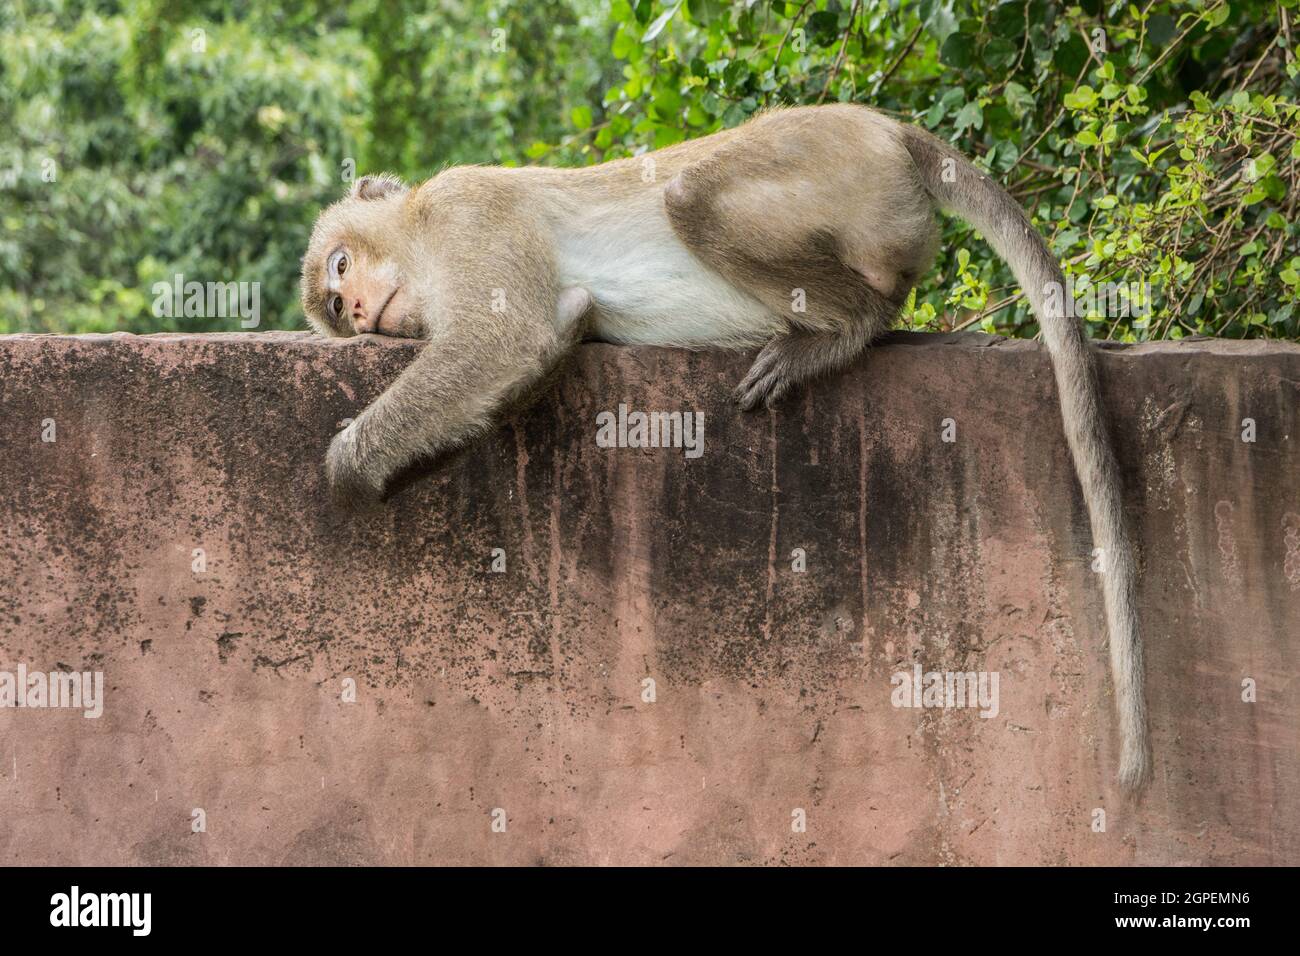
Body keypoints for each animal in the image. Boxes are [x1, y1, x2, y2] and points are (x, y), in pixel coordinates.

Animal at [300, 104, 1150, 791]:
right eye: (336, 310)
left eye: (341, 268)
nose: (357, 310)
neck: (418, 234)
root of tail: (884, 128)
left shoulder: (465, 211)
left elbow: (503, 337)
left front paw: (350, 470)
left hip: (835, 168)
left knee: (693, 197)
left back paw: (846, 326)